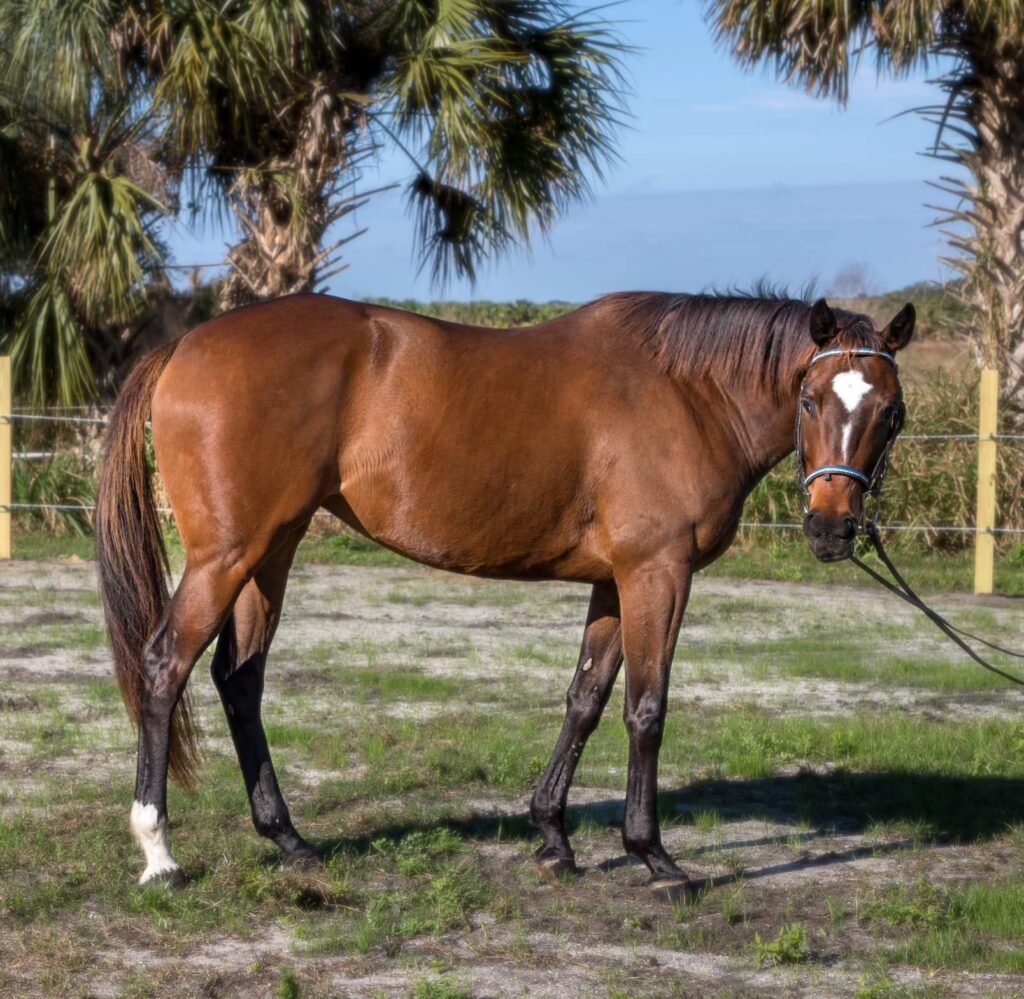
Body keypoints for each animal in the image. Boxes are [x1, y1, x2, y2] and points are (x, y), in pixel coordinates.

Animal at [95, 289, 914, 898]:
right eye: (810, 401)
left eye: (891, 413)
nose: (833, 528)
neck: (687, 392)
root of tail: (184, 348)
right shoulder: (657, 573)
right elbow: (646, 709)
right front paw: (654, 855)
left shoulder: (612, 582)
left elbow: (585, 699)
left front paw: (552, 836)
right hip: (225, 557)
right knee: (165, 665)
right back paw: (159, 852)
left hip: (272, 551)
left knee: (239, 680)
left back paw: (288, 837)